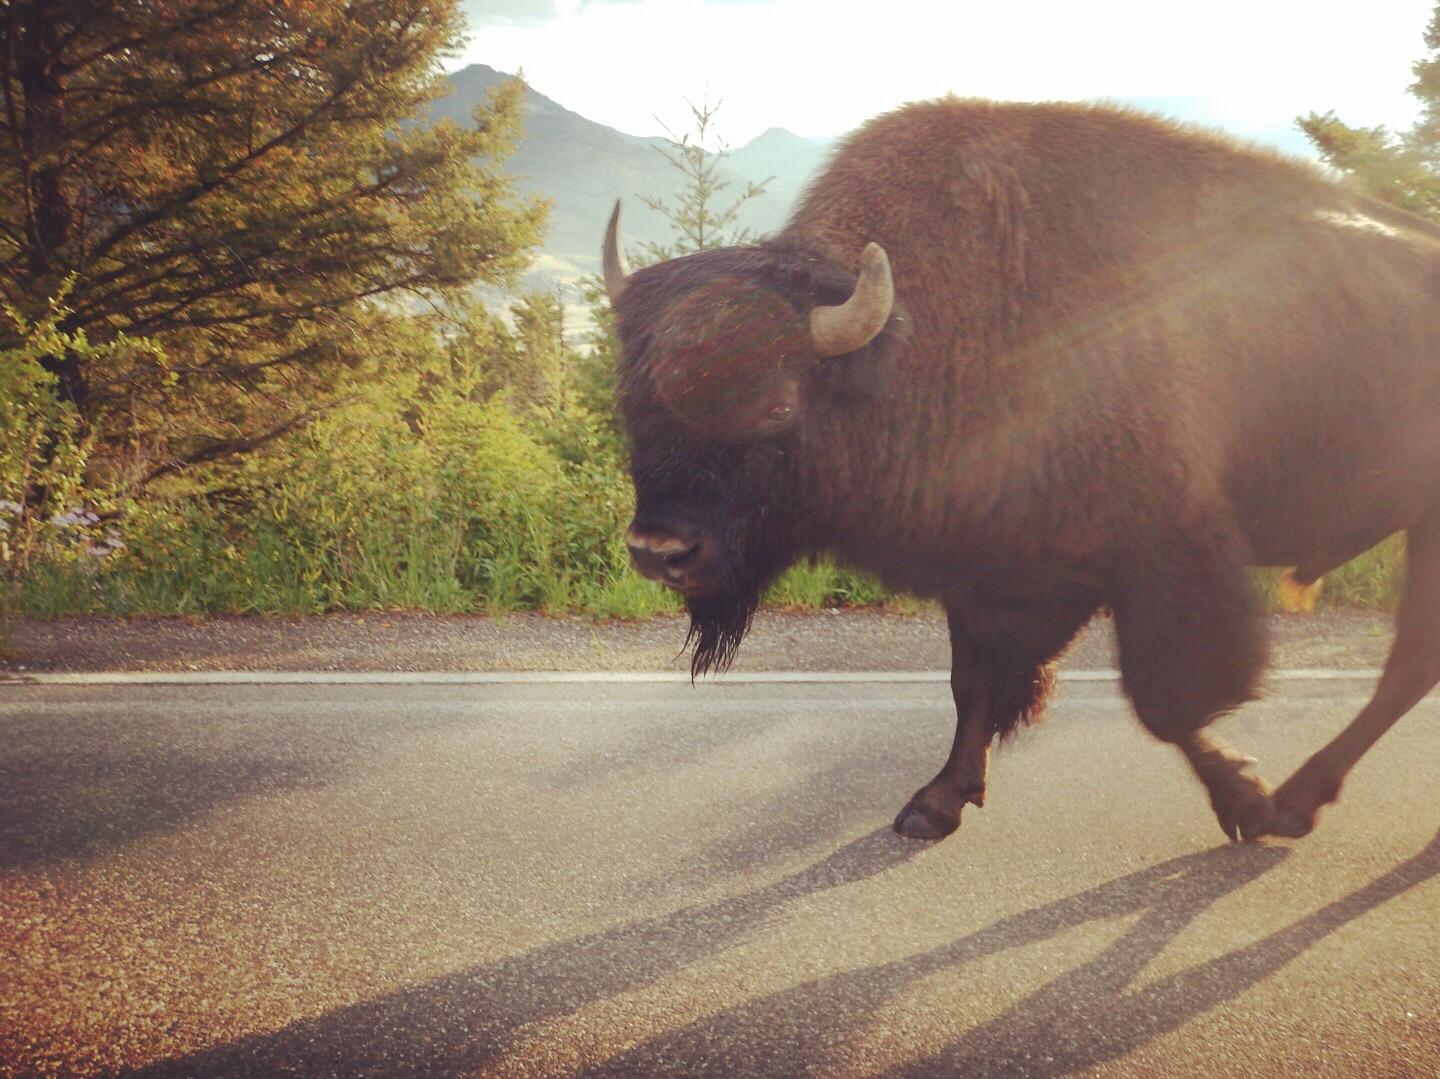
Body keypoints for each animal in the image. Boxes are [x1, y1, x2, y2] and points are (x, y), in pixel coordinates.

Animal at [602, 98, 1440, 843]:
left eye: (777, 403)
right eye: (633, 397)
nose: (659, 552)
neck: (918, 338)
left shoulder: (1154, 560)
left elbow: (1165, 702)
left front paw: (1251, 804)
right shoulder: (988, 573)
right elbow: (976, 684)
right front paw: (935, 804)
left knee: (1406, 665)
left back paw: (1300, 799)